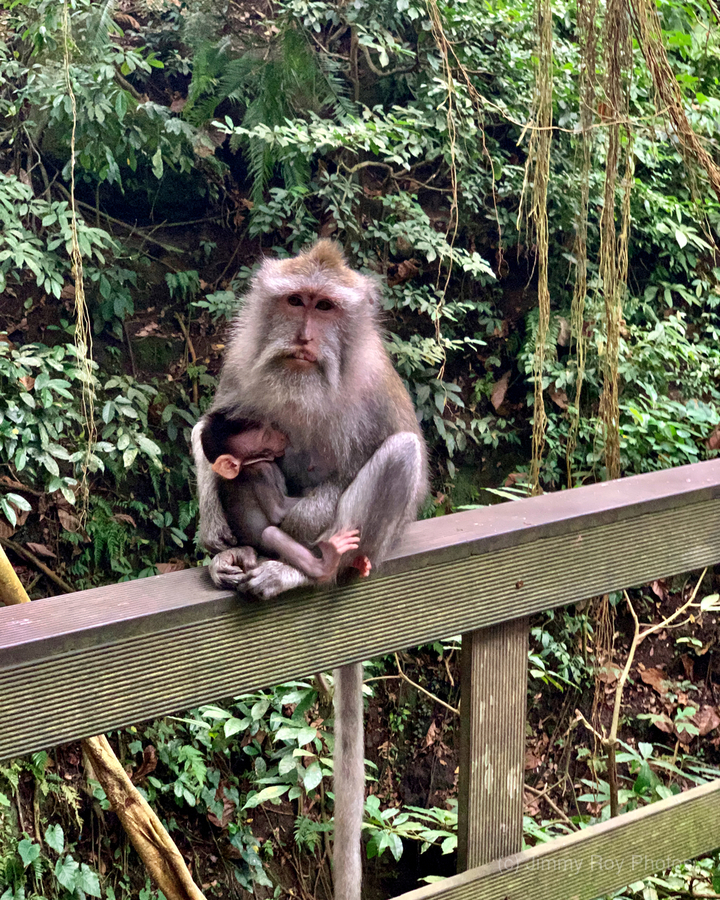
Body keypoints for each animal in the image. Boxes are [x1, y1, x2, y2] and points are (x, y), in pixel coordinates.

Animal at [199, 411, 366, 582]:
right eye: (265, 436)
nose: (282, 437)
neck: (245, 465)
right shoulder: (261, 470)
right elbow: (277, 511)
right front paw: (342, 479)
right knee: (270, 533)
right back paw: (326, 563)